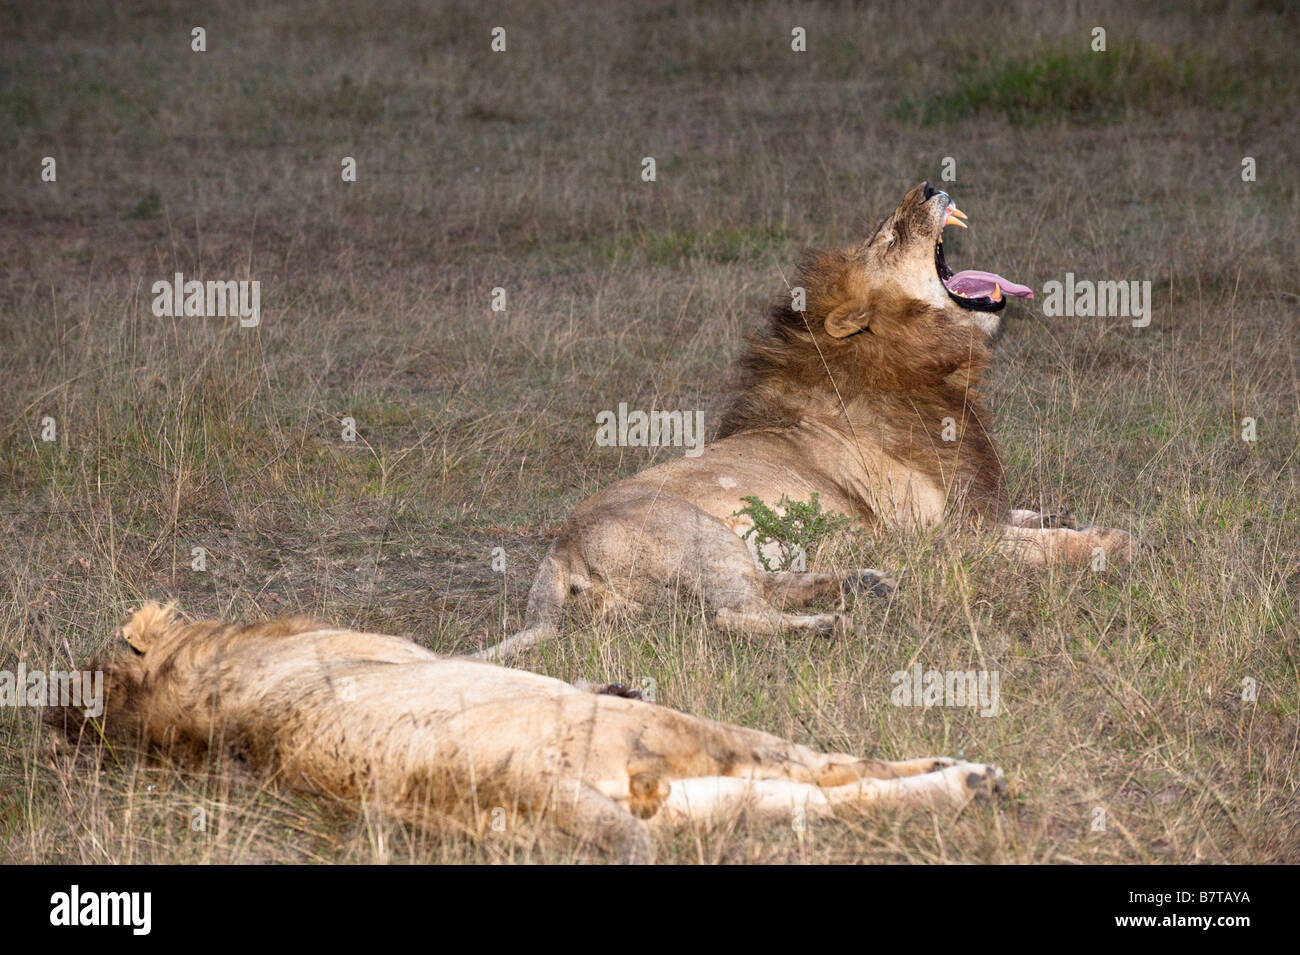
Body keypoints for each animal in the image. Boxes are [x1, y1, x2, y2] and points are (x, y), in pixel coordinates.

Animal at [48, 602, 1006, 863]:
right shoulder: (409, 649)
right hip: (683, 739)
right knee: (832, 768)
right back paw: (969, 773)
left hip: (693, 802)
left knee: (823, 807)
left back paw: (969, 784)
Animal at [479, 182, 1134, 662]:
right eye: (888, 236)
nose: (931, 185)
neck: (918, 363)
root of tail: (557, 553)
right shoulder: (932, 535)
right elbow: (1034, 546)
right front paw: (1110, 542)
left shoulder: (967, 506)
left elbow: (1024, 516)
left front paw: (1059, 514)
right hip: (700, 536)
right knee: (734, 615)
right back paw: (829, 623)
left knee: (765, 590)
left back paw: (864, 584)